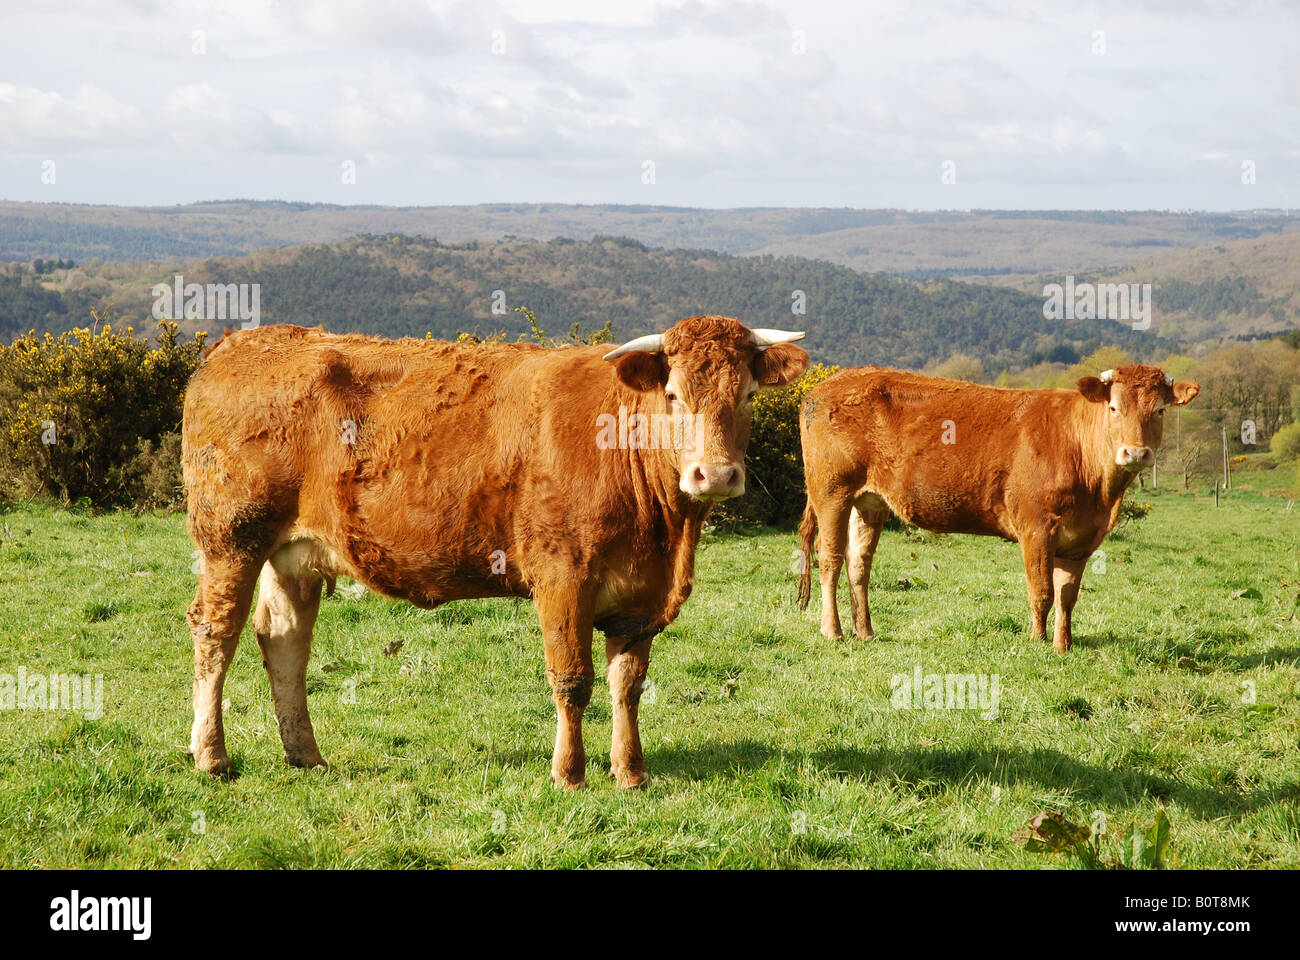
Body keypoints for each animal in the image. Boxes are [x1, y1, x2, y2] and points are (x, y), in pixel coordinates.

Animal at [182, 316, 808, 787]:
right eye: (674, 395)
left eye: (748, 395)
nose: (715, 475)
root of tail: (239, 344)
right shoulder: (563, 577)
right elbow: (572, 679)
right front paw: (569, 774)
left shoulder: (642, 596)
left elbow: (627, 685)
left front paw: (631, 773)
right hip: (232, 538)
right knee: (216, 630)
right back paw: (212, 755)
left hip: (293, 551)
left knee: (283, 638)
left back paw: (306, 755)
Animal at [796, 365, 1200, 653]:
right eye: (1114, 408)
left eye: (1159, 410)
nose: (1136, 453)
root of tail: (825, 386)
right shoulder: (1036, 526)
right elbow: (1042, 591)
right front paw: (1038, 641)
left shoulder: (1082, 539)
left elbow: (1067, 596)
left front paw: (1064, 645)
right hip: (831, 491)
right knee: (829, 559)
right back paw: (833, 631)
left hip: (869, 502)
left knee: (858, 564)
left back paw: (865, 631)